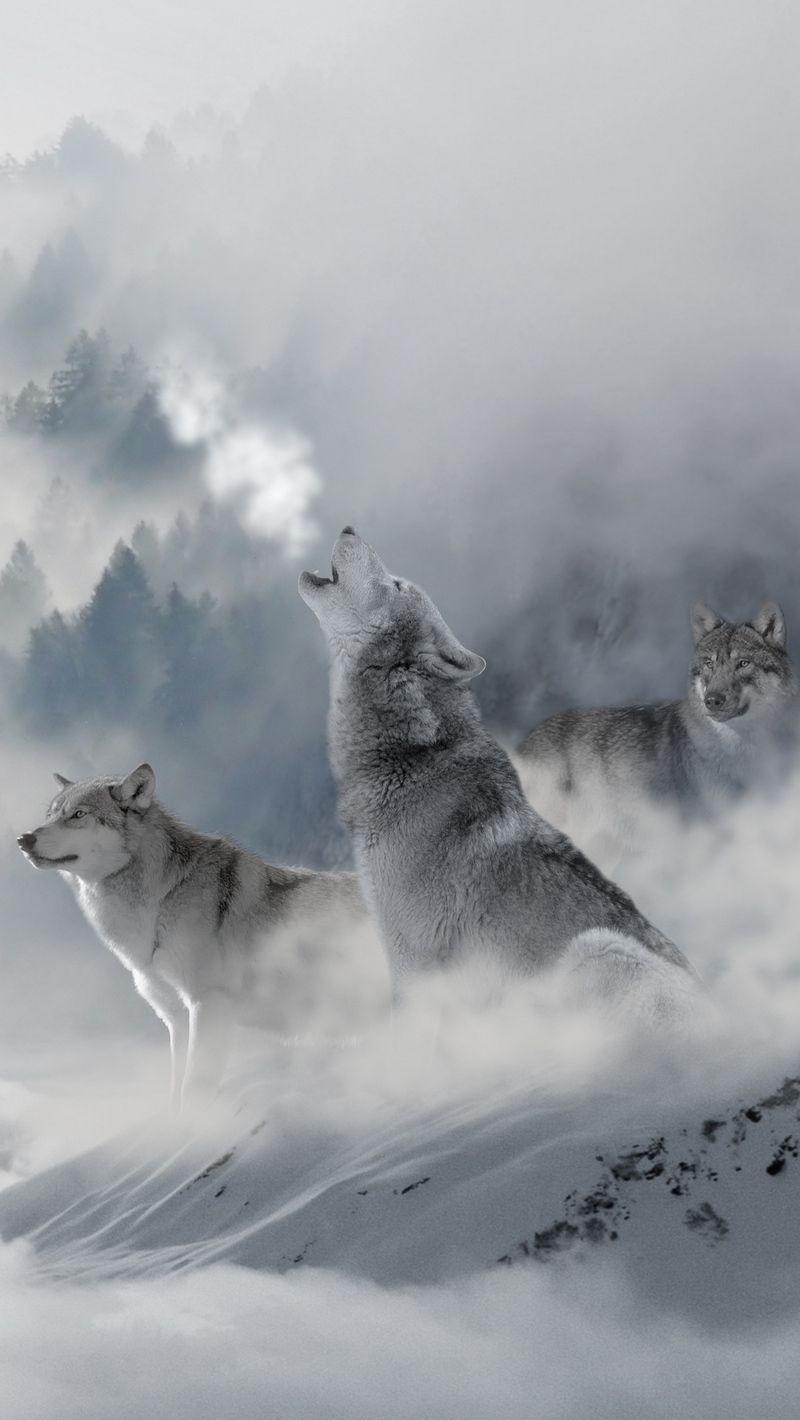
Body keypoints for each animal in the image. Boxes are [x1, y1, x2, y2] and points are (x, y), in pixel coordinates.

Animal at [17, 764, 378, 1108]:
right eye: (50, 815)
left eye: (78, 815)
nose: (24, 839)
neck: (161, 901)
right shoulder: (177, 1020)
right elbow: (176, 1094)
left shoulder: (209, 1006)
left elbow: (193, 1091)